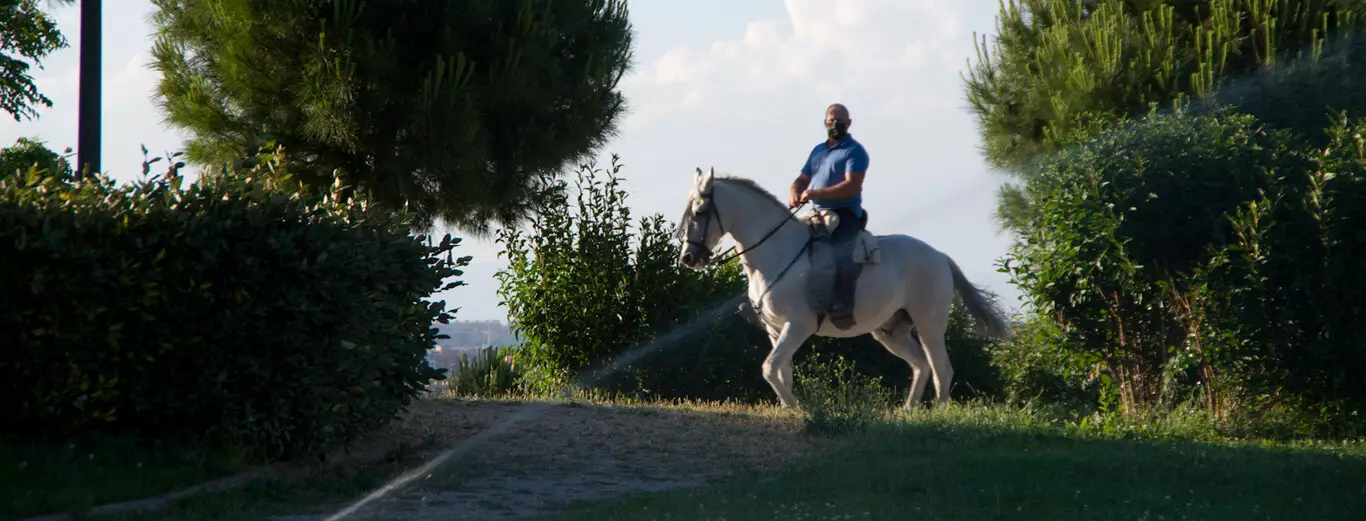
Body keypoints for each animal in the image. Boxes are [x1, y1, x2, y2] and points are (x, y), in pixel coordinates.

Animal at [674, 168, 1010, 407]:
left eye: (700, 212)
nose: (688, 258)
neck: (774, 253)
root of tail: (940, 256)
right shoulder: (775, 329)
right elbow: (781, 370)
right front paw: (790, 406)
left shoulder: (798, 326)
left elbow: (769, 368)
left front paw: (799, 407)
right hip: (891, 331)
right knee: (921, 366)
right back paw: (908, 411)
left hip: (929, 324)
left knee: (942, 369)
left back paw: (936, 413)